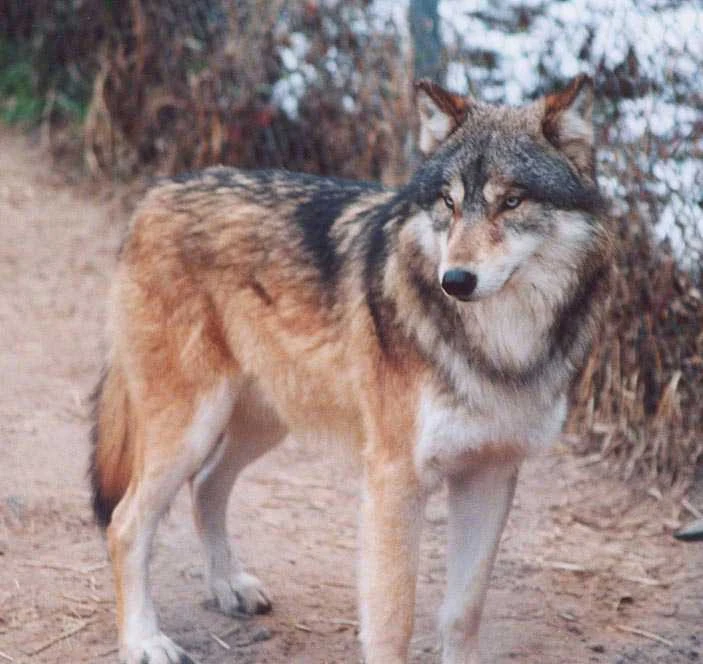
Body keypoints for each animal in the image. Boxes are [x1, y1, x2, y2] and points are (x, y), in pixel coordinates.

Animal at [90, 74, 611, 664]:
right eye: (449, 203)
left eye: (512, 201)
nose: (454, 279)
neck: (500, 351)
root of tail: (155, 195)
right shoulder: (395, 479)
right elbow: (392, 622)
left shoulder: (491, 474)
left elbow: (463, 613)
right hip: (189, 428)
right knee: (125, 523)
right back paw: (144, 641)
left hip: (261, 424)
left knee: (205, 489)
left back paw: (229, 587)